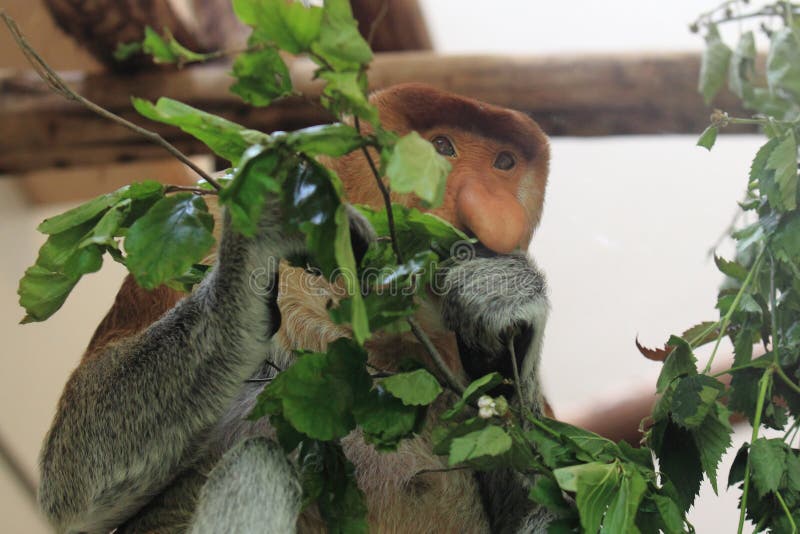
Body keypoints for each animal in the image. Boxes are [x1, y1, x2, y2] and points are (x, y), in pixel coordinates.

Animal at [37, 83, 552, 533]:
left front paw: (502, 300)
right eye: (444, 146)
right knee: (257, 458)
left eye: (504, 162)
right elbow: (73, 477)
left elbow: (536, 502)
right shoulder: (204, 223)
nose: (494, 214)